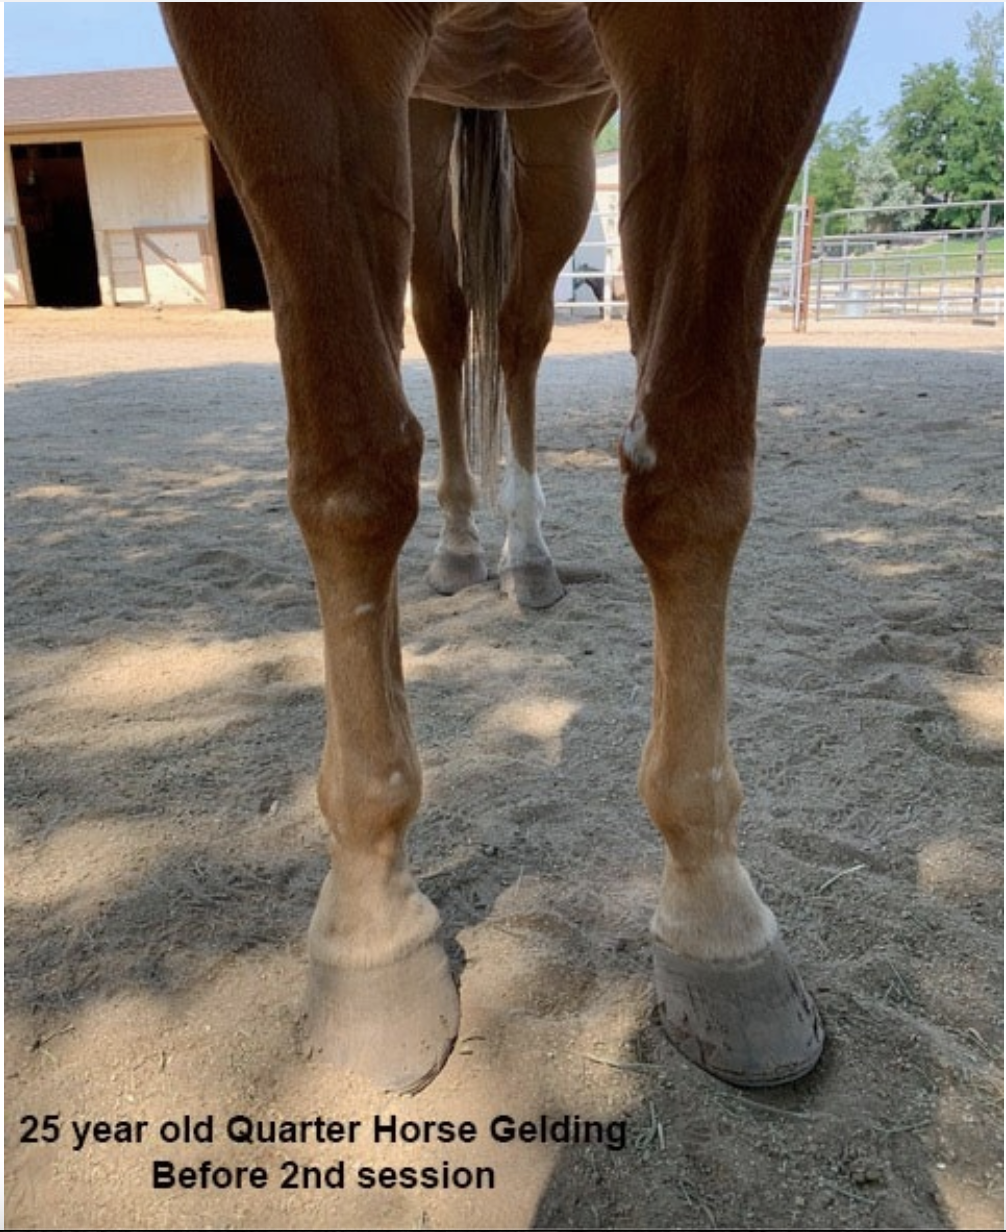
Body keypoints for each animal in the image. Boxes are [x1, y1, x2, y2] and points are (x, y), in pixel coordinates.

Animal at [160, 3, 861, 1094]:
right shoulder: (272, 56)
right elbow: (351, 472)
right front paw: (371, 938)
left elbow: (692, 474)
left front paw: (716, 921)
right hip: (422, 125)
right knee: (445, 323)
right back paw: (457, 546)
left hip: (556, 128)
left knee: (520, 326)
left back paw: (523, 553)